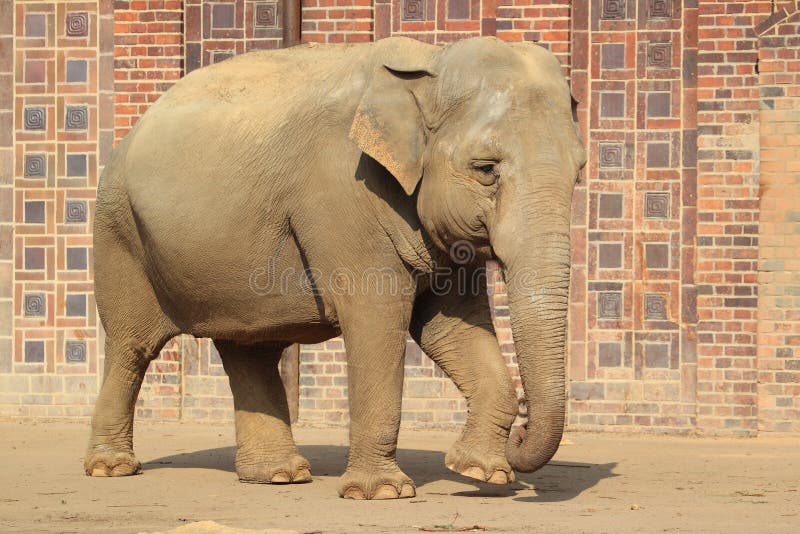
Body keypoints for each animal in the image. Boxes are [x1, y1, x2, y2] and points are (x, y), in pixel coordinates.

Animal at [85, 36, 586, 500]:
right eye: (486, 169)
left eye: (579, 171)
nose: (520, 438)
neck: (428, 61)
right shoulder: (342, 195)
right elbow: (377, 320)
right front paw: (383, 493)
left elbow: (453, 327)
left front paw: (481, 473)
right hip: (117, 231)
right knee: (131, 347)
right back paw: (112, 468)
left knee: (249, 348)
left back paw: (278, 476)